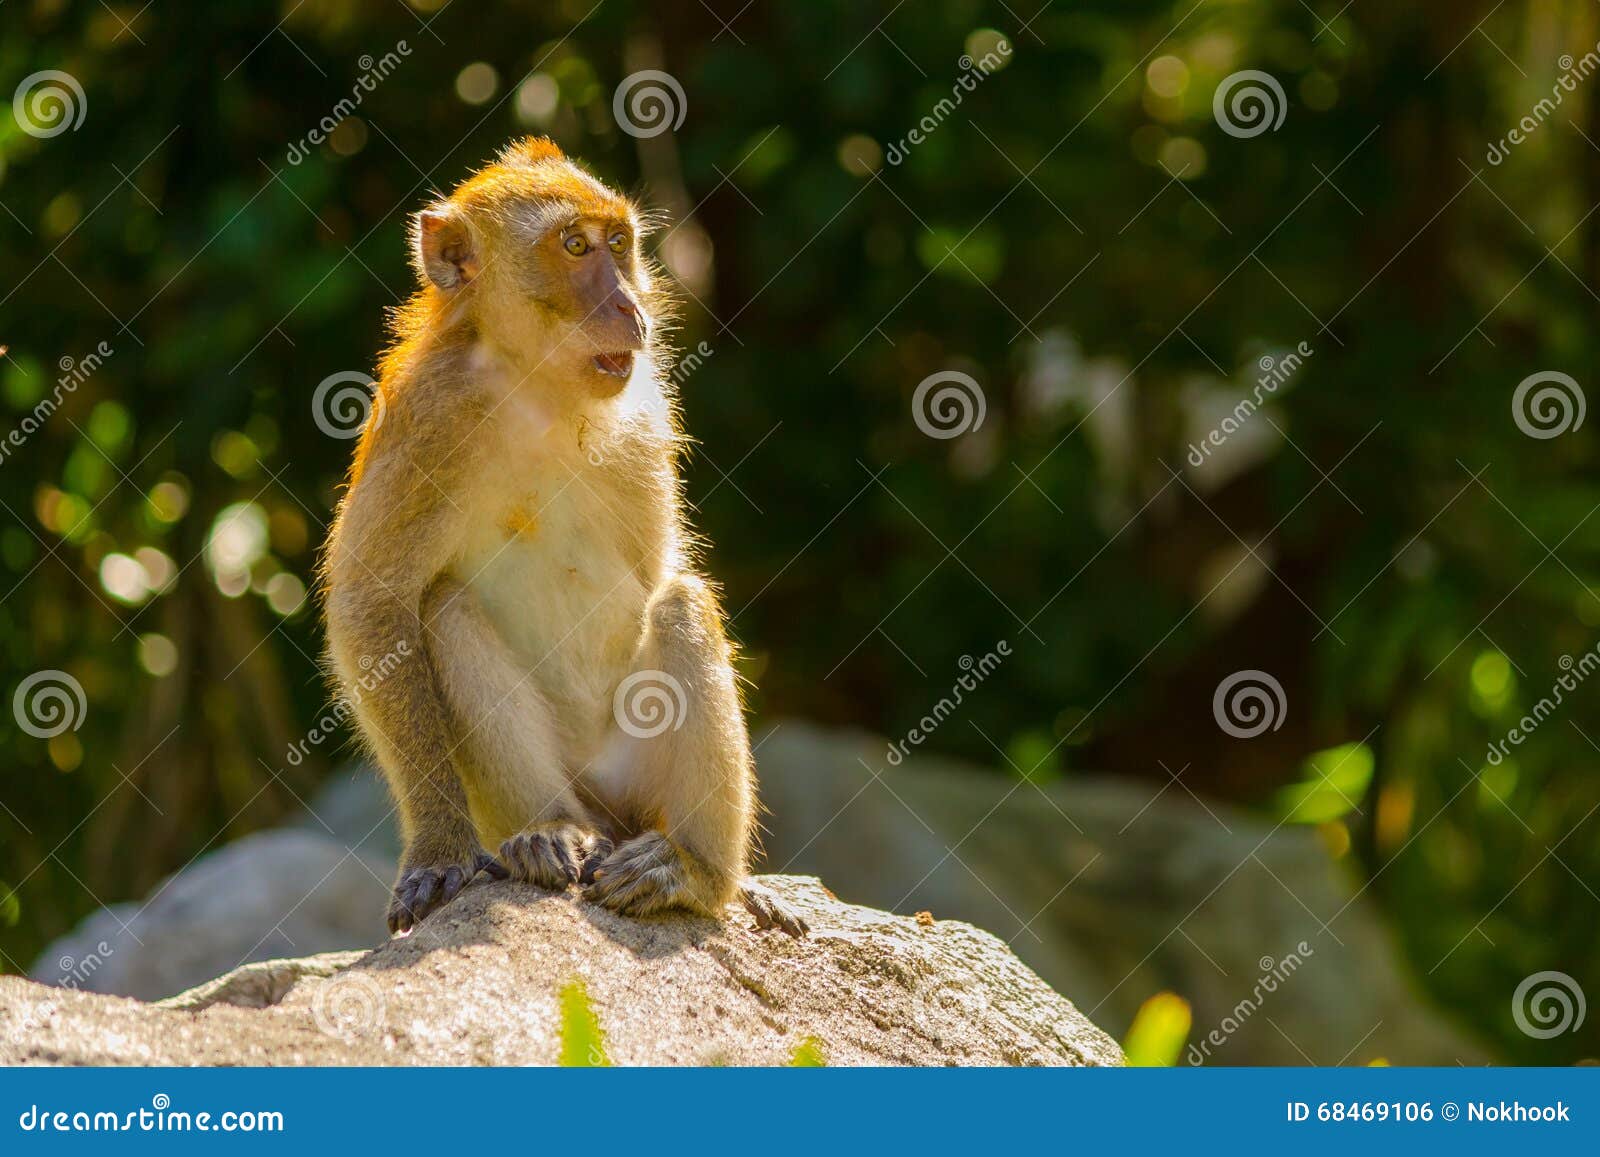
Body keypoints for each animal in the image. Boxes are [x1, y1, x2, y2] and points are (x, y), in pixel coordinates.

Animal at [321, 137, 805, 939]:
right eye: (574, 247)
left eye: (618, 245)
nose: (630, 308)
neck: (537, 390)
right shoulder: (425, 419)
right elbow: (374, 608)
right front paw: (438, 848)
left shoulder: (645, 412)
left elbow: (662, 572)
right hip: (545, 793)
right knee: (444, 609)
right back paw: (551, 833)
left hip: (640, 772)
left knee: (680, 603)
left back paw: (698, 873)